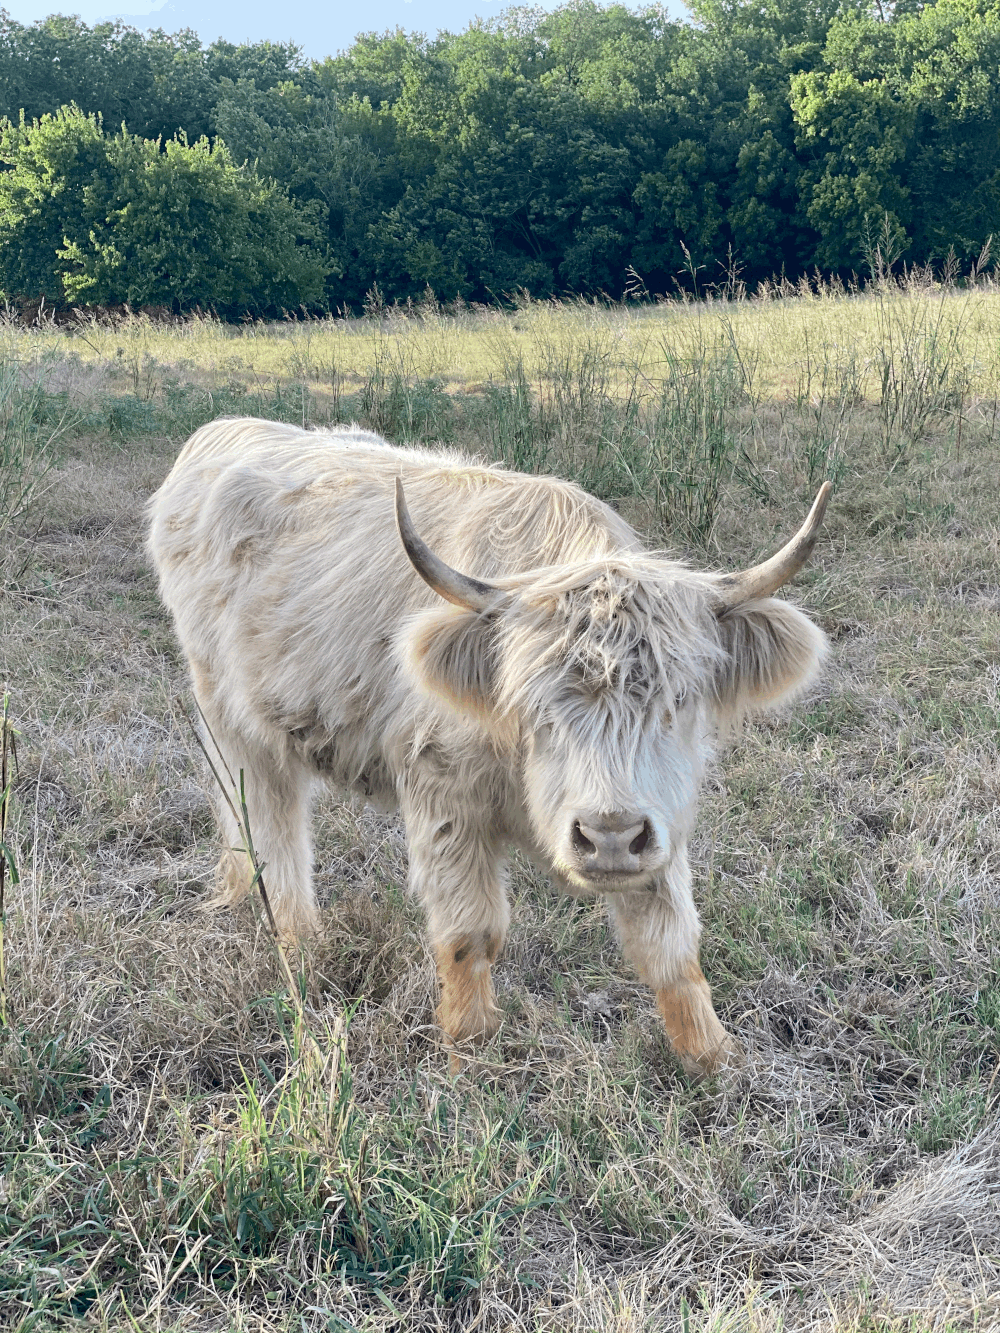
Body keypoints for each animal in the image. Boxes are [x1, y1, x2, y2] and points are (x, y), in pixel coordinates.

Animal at [148, 416, 829, 1077]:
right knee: (267, 821)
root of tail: (222, 432)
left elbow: (671, 943)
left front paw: (716, 1060)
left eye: (679, 700)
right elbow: (469, 934)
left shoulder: (659, 822)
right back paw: (299, 945)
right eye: (534, 708)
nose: (608, 836)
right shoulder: (445, 797)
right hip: (231, 716)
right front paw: (469, 1058)